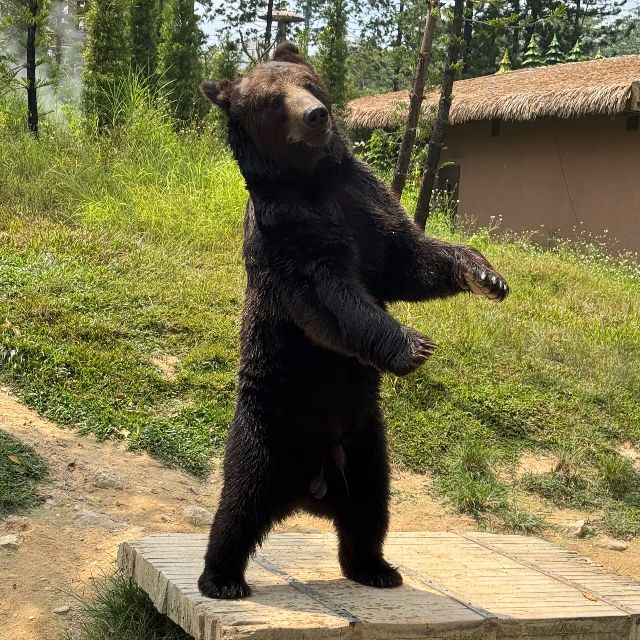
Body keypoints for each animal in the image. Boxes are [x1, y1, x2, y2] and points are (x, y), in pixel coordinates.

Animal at [198, 42, 509, 600]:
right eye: (272, 101)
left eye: (308, 83)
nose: (316, 115)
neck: (312, 181)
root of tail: (308, 490)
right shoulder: (291, 236)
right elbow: (333, 300)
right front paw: (414, 344)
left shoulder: (366, 204)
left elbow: (408, 259)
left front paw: (485, 275)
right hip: (267, 428)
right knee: (239, 504)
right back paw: (222, 578)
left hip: (365, 442)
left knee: (371, 505)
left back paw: (376, 567)